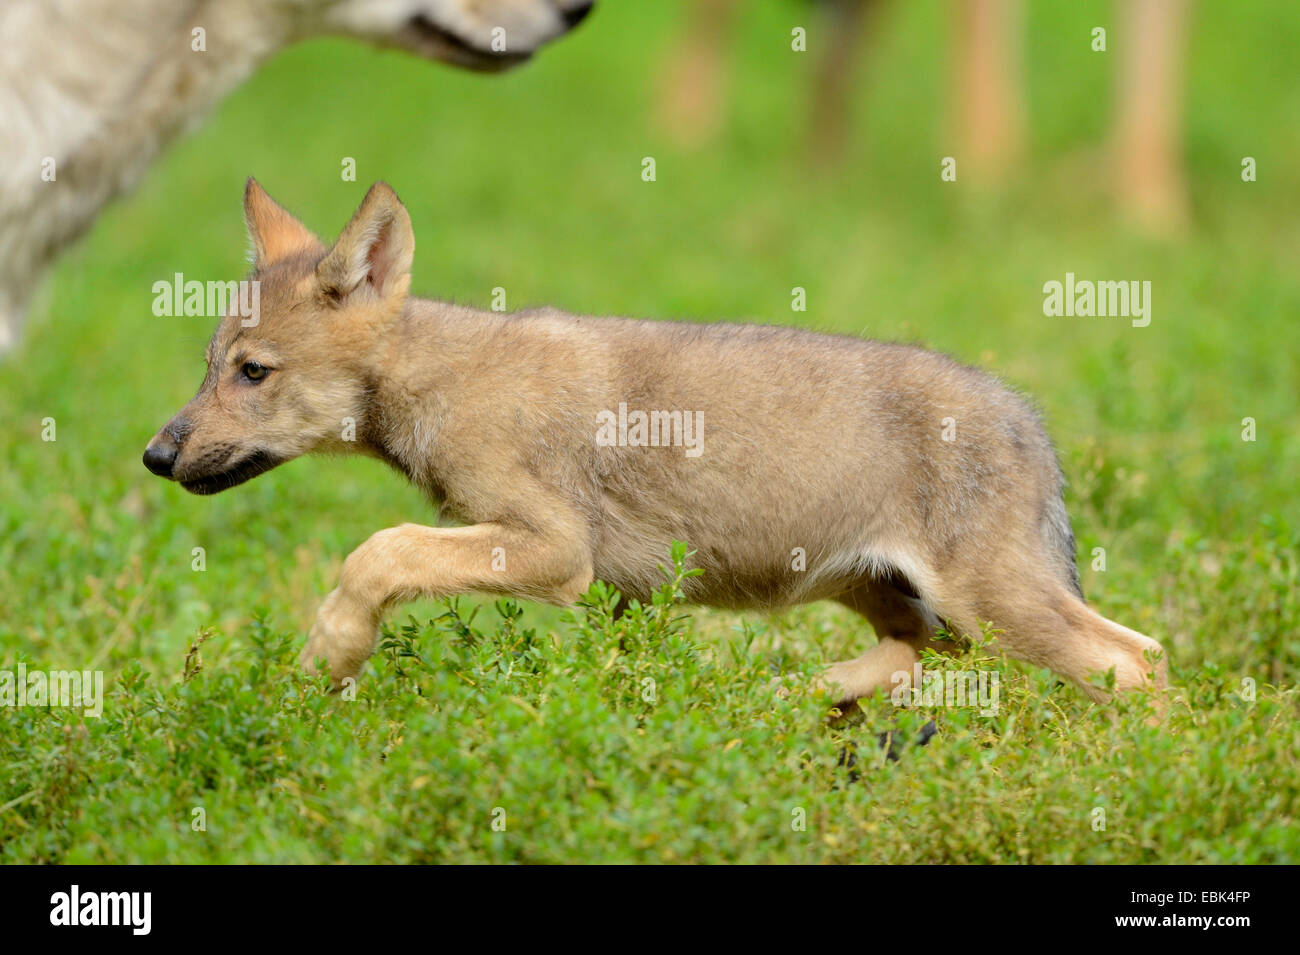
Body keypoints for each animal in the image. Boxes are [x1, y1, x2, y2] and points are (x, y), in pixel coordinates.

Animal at [142, 180, 1167, 705]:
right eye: (208, 366)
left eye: (253, 373)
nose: (155, 456)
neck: (442, 378)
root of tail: (1027, 417)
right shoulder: (619, 593)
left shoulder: (559, 552)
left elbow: (375, 553)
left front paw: (331, 654)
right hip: (889, 590)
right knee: (916, 655)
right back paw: (802, 692)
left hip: (993, 603)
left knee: (1138, 660)